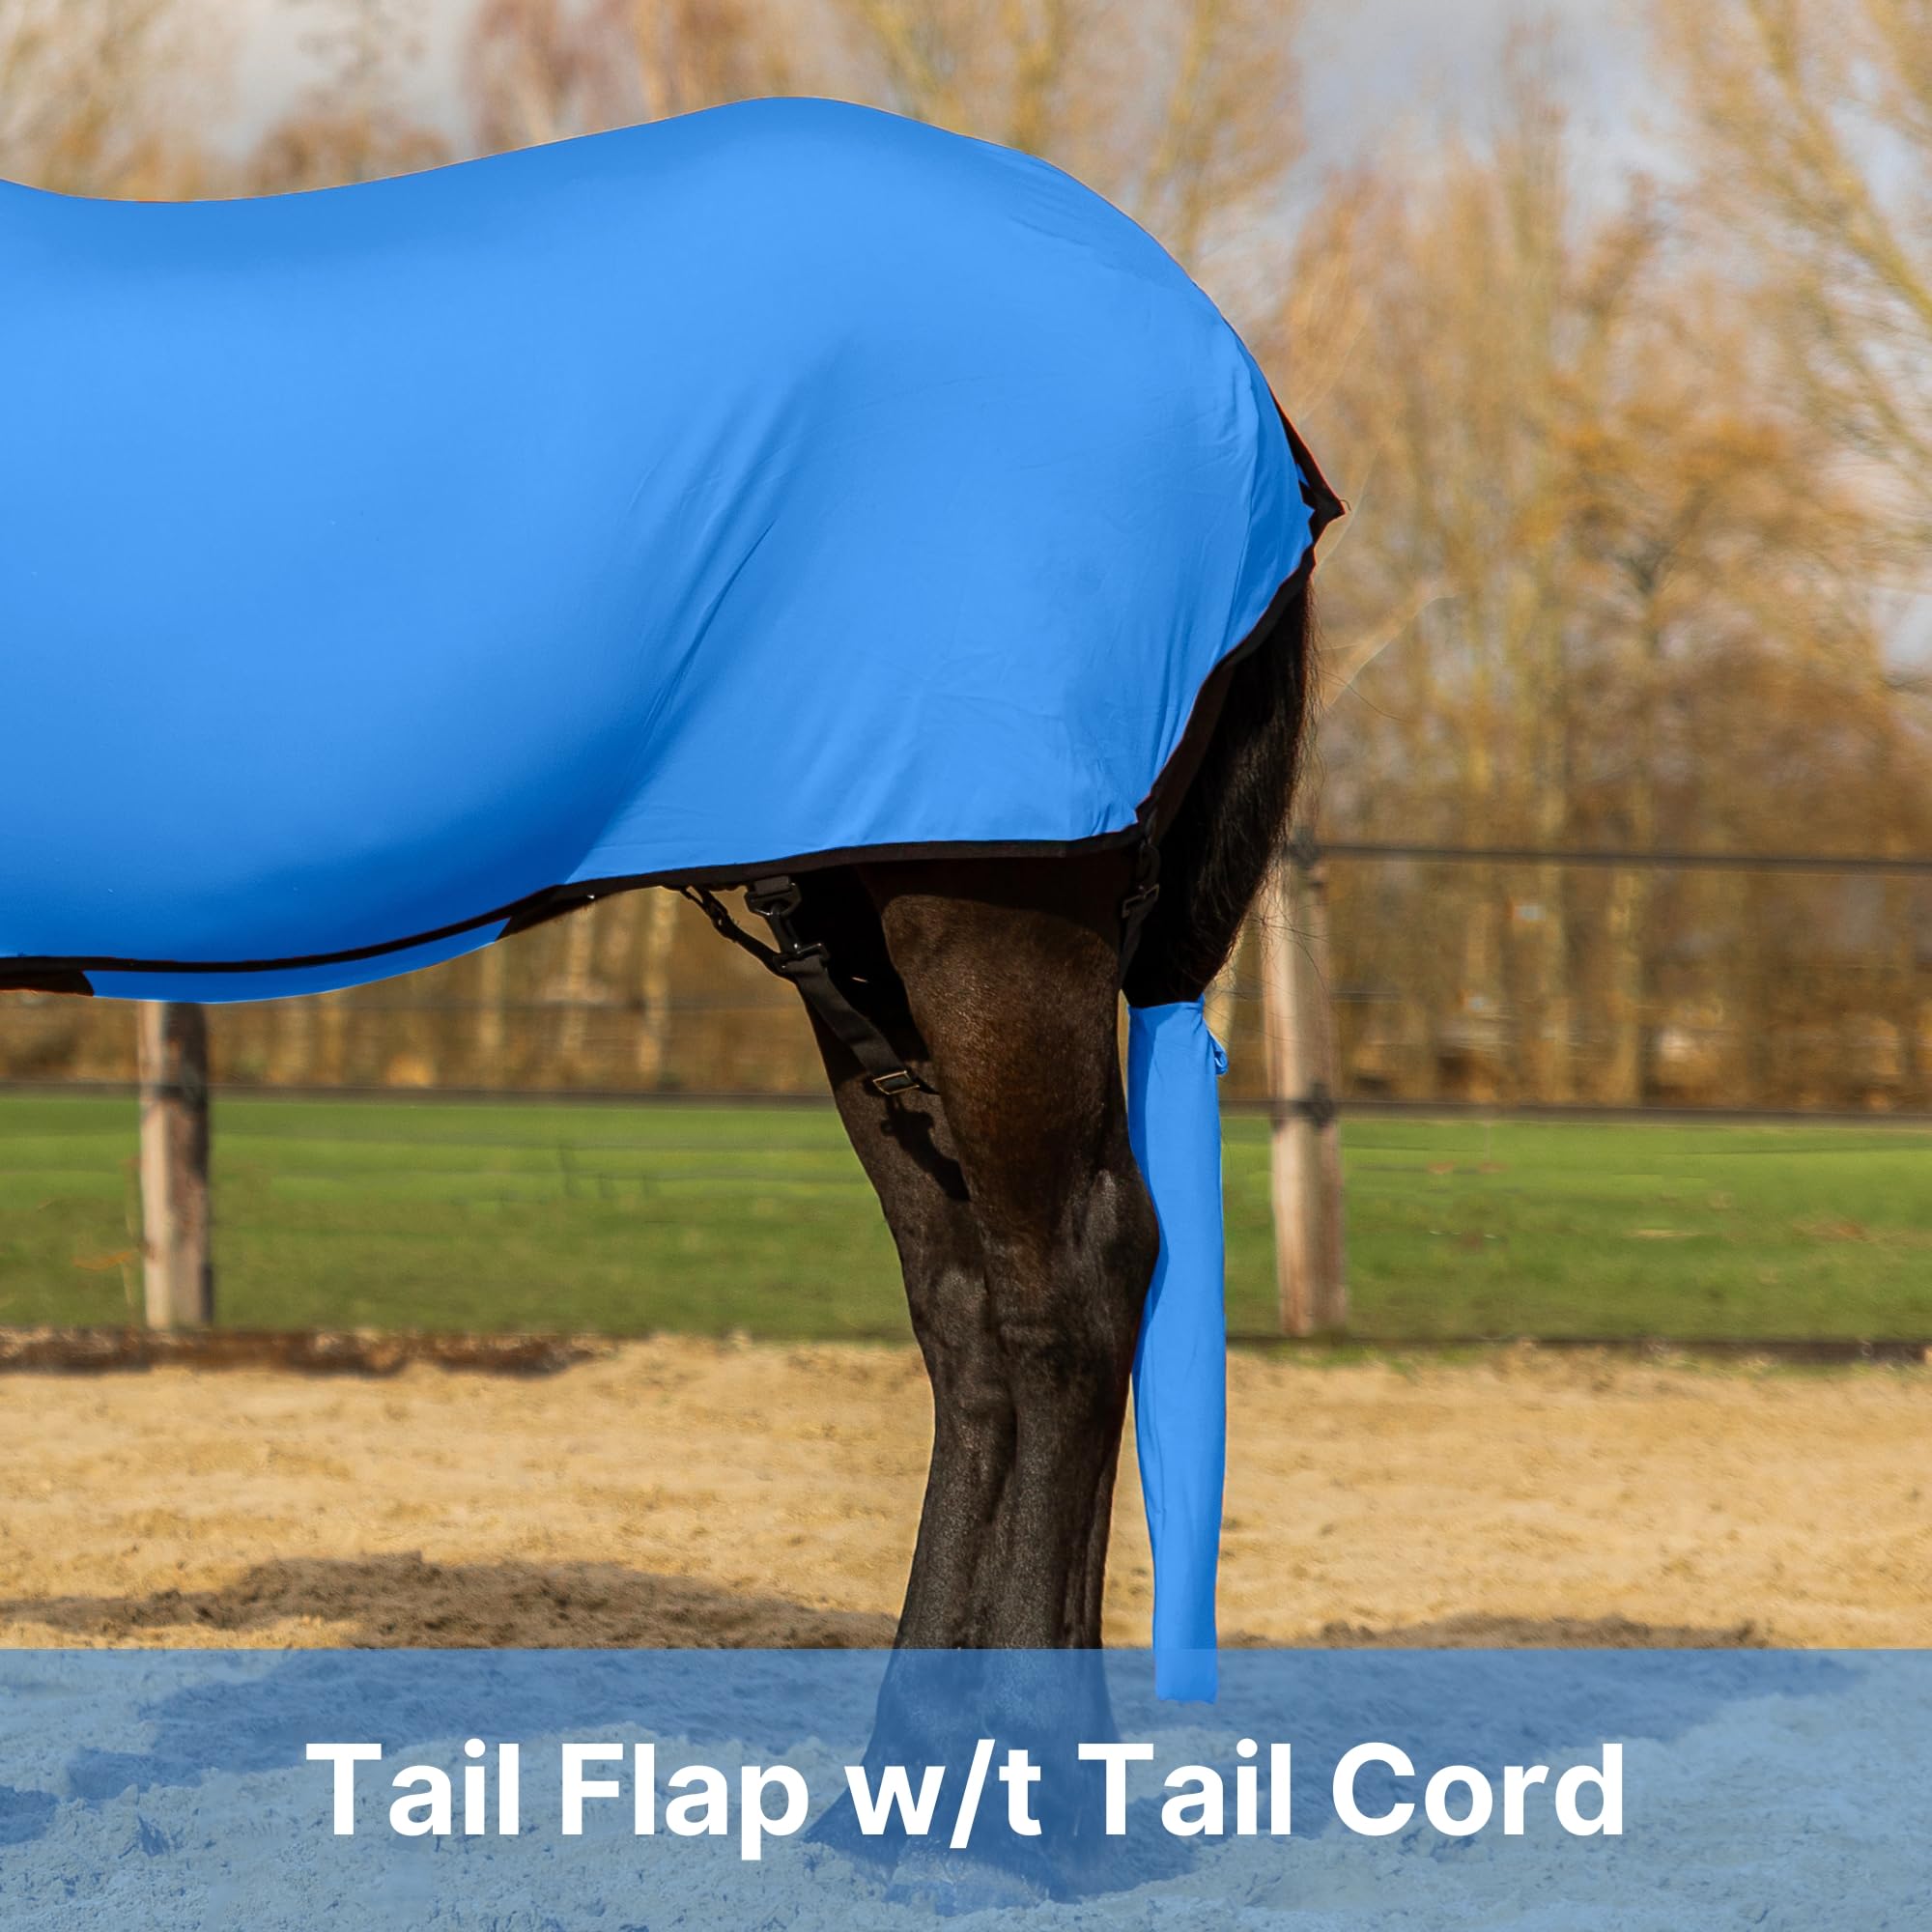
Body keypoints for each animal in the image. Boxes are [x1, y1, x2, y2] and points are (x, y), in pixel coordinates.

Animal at [1, 94, 1339, 1900]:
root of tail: (1238, 385)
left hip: (992, 898)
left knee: (1074, 1278)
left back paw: (1037, 1819)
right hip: (848, 929)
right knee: (973, 1314)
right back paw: (910, 1797)